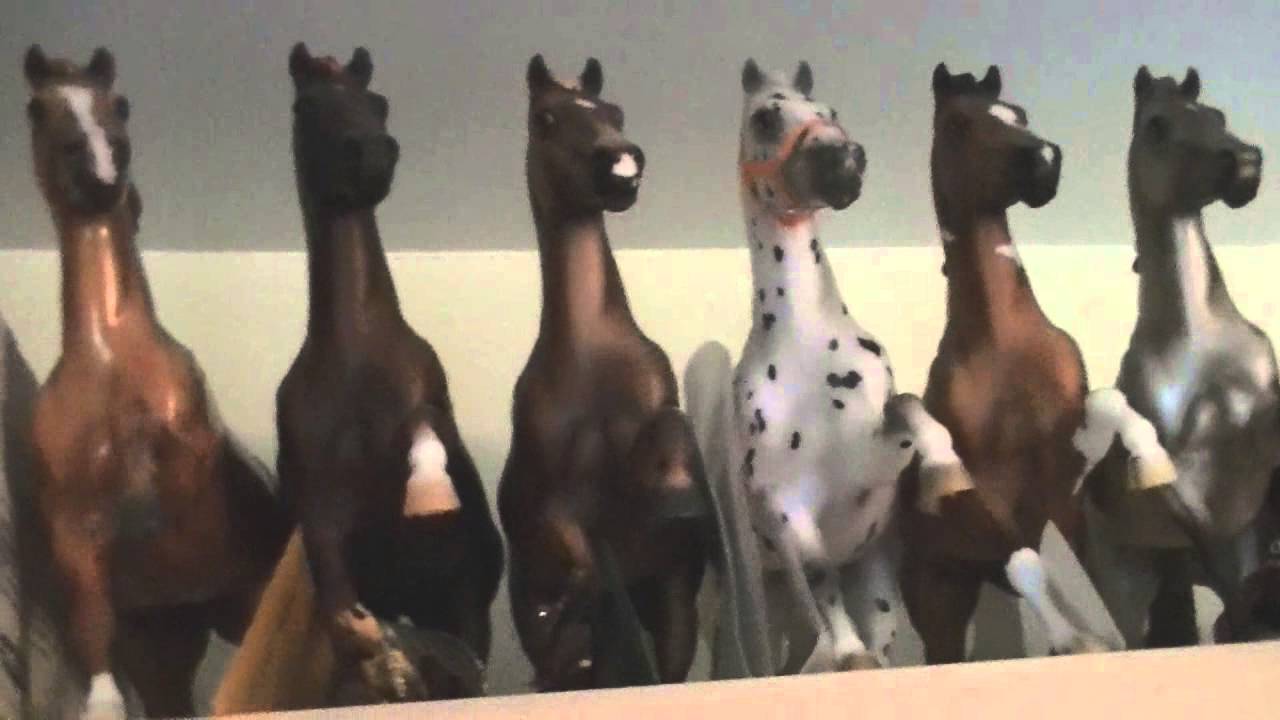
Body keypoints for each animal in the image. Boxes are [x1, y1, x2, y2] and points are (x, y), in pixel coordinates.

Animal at [22, 45, 289, 718]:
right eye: (38, 108)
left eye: (119, 105)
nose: (102, 179)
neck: (111, 360)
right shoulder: (73, 532)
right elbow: (93, 636)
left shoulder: (186, 475)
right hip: (168, 643)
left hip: (237, 602)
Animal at [498, 54, 710, 691]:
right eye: (545, 118)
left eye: (614, 112)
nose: (620, 164)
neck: (591, 359)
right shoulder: (556, 511)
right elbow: (575, 547)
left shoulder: (667, 571)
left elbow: (670, 429)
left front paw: (679, 495)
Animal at [684, 59, 972, 674]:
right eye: (767, 117)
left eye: (829, 111)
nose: (846, 162)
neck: (809, 346)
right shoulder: (787, 507)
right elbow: (820, 577)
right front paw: (848, 651)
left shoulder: (878, 462)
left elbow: (910, 406)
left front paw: (946, 468)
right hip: (741, 602)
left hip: (863, 579)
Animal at [902, 63, 1177, 664]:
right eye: (958, 123)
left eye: (1020, 114)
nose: (1045, 159)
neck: (1005, 345)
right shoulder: (984, 503)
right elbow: (1026, 563)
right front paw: (1077, 641)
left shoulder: (1064, 480)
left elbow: (1110, 404)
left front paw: (1152, 460)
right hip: (940, 595)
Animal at [1085, 66, 1280, 647]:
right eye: (1157, 125)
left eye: (1216, 115)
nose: (1245, 164)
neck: (1198, 338)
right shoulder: (1176, 483)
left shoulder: (1257, 465)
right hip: (1130, 584)